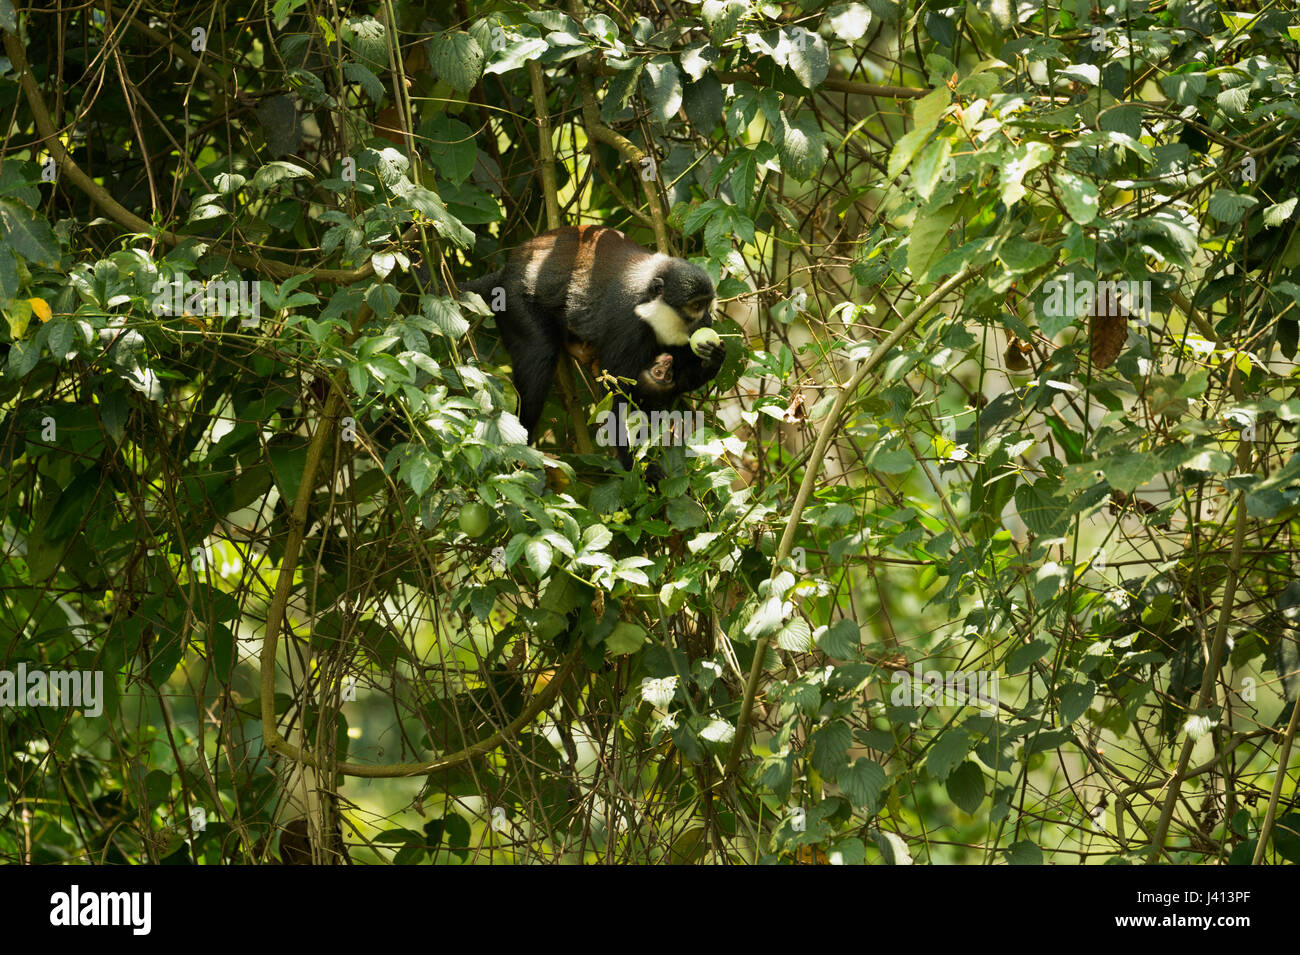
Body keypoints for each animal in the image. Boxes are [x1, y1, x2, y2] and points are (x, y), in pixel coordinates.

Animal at [460, 226, 725, 472]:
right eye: (696, 306)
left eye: (708, 304)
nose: (707, 321)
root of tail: (510, 267)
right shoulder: (628, 327)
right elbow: (619, 402)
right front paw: (642, 471)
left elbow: (675, 384)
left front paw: (714, 358)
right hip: (516, 301)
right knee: (539, 357)